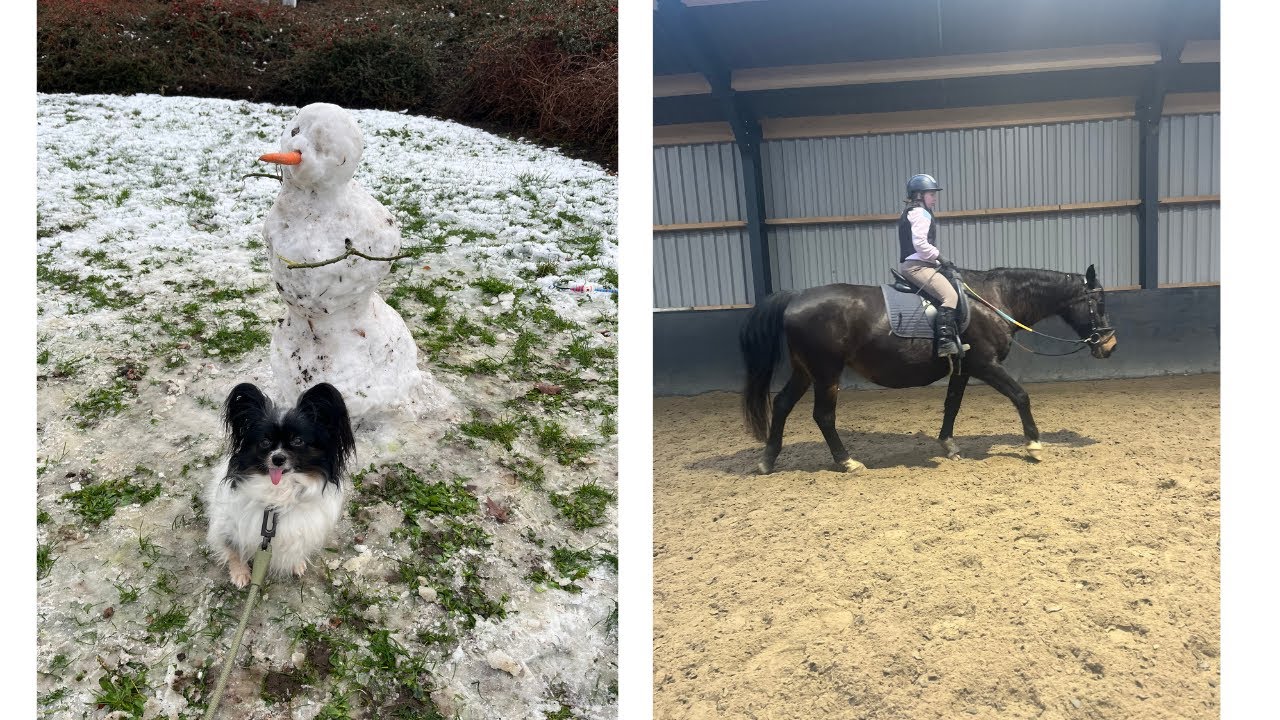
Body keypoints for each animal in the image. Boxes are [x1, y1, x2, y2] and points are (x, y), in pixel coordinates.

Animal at [740, 265, 1117, 474]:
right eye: (1098, 302)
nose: (1110, 345)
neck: (992, 299)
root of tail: (795, 296)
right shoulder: (985, 365)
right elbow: (1021, 396)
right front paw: (1034, 444)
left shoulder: (963, 368)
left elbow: (952, 405)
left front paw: (949, 446)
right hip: (826, 373)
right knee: (823, 416)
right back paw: (846, 461)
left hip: (805, 371)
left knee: (783, 404)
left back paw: (767, 460)